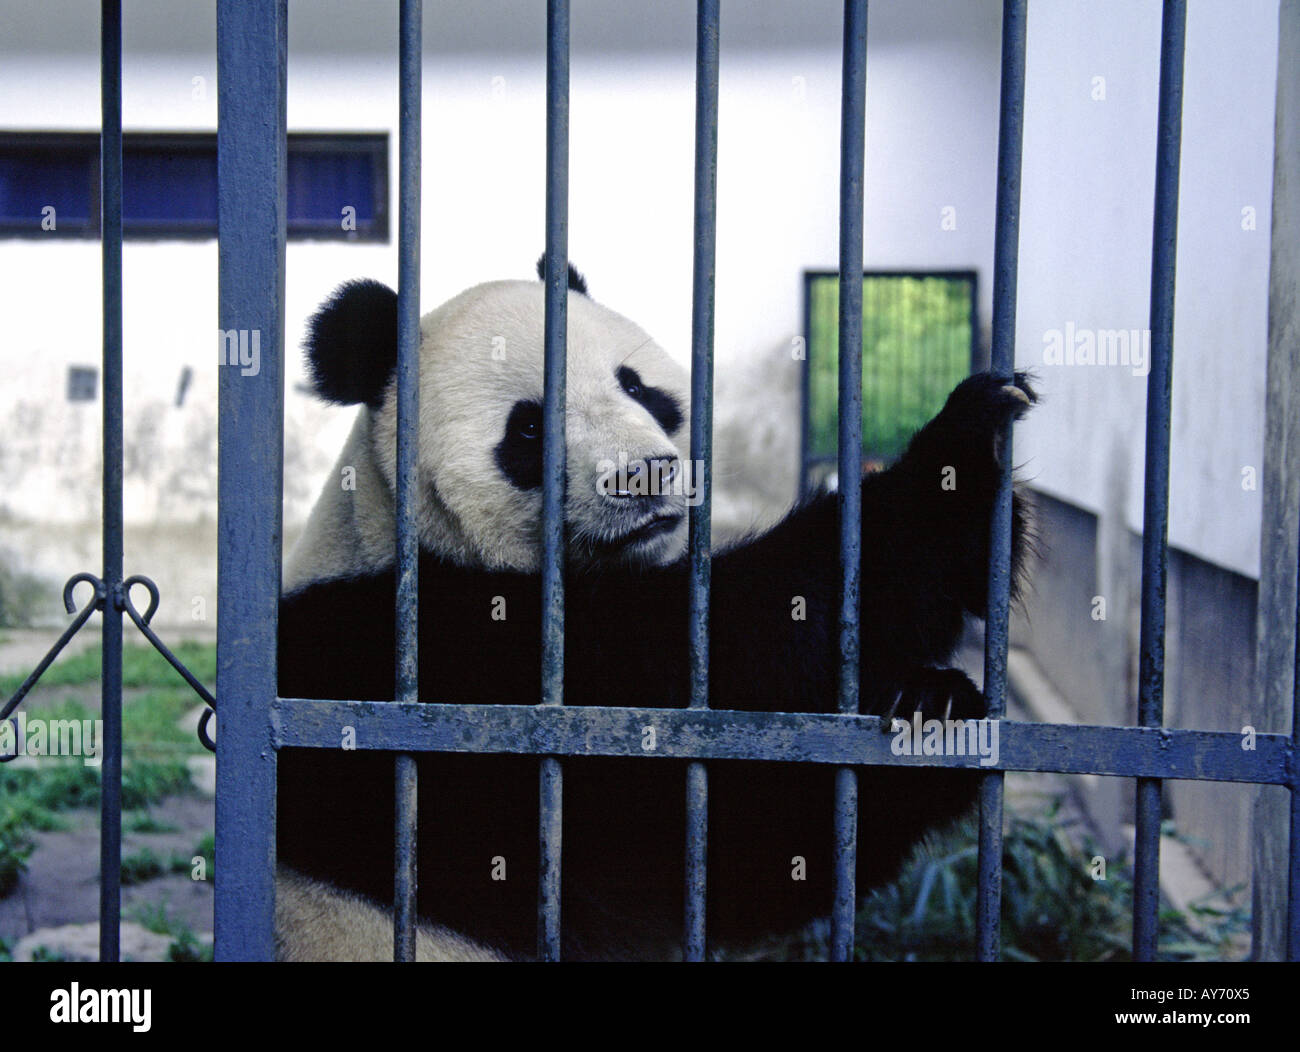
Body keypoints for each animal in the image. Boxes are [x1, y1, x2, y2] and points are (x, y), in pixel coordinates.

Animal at [275, 261, 1036, 961]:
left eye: (636, 386)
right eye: (529, 429)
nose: (645, 474)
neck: (391, 527)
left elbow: (746, 862)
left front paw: (932, 710)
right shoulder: (453, 673)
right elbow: (723, 642)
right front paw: (959, 453)